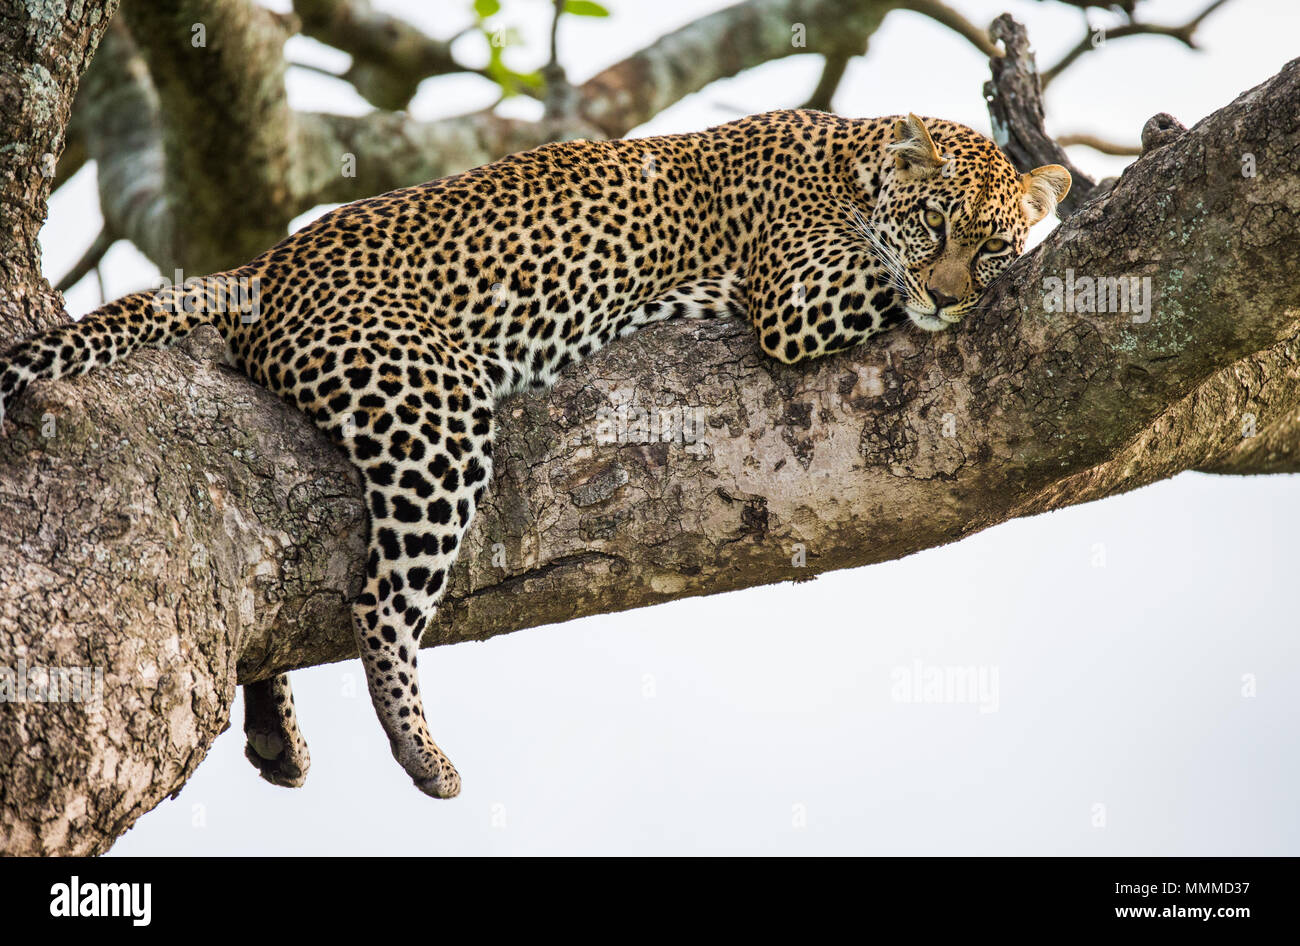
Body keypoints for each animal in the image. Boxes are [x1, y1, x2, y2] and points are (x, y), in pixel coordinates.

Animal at [0, 110, 1069, 799]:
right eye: (936, 226)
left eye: (991, 246)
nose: (951, 300)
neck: (852, 160)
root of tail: (267, 265)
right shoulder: (797, 295)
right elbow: (874, 278)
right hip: (432, 410)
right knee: (376, 602)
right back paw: (421, 752)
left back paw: (275, 735)